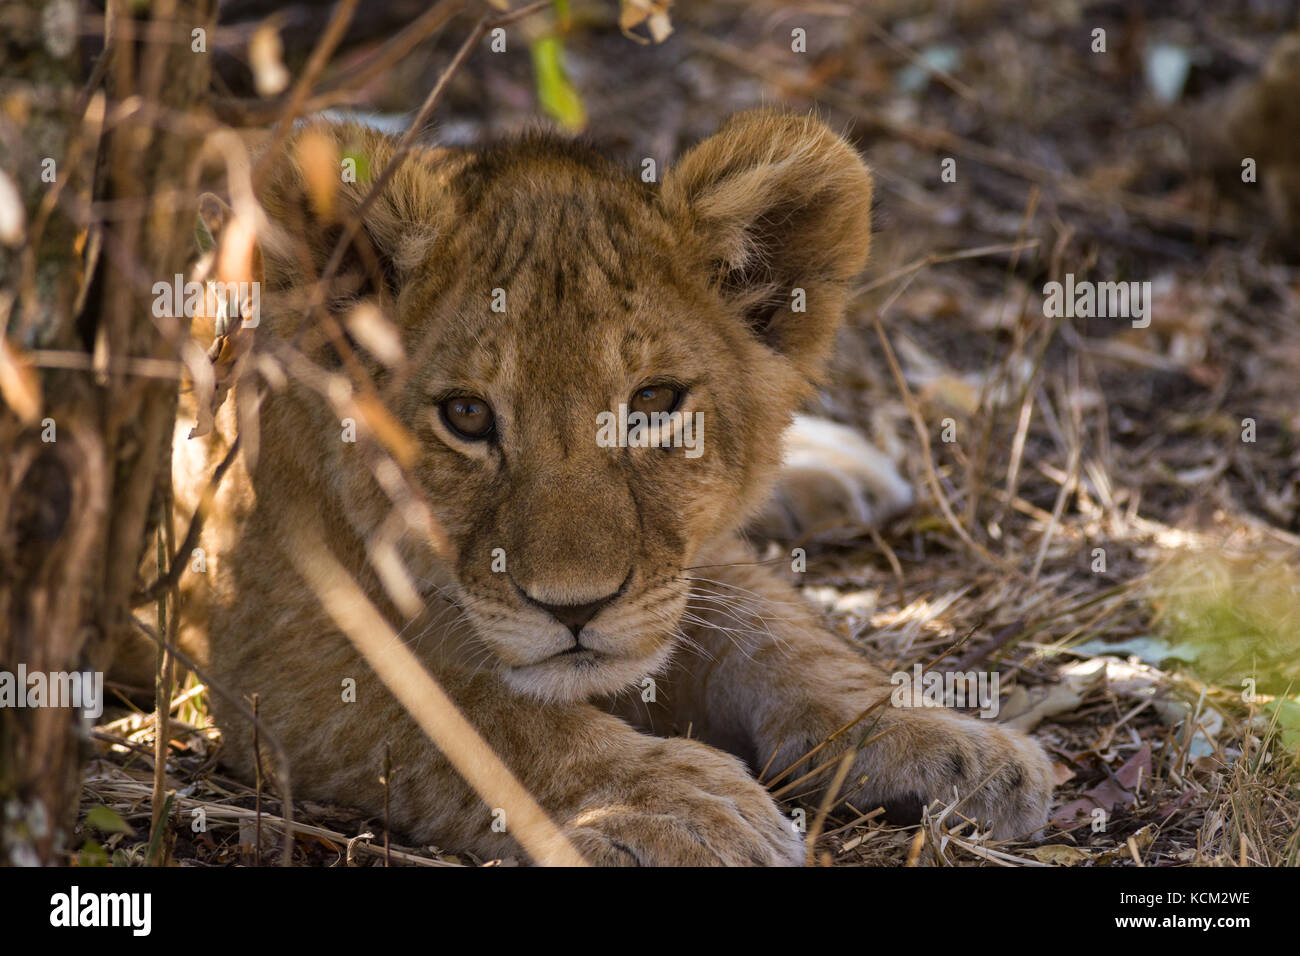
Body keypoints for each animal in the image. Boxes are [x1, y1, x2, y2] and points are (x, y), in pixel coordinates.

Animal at [164, 110, 1054, 865]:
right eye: (465, 415)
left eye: (654, 403)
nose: (574, 609)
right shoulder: (271, 643)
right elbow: (482, 717)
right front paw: (676, 808)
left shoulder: (680, 565)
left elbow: (782, 633)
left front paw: (939, 736)